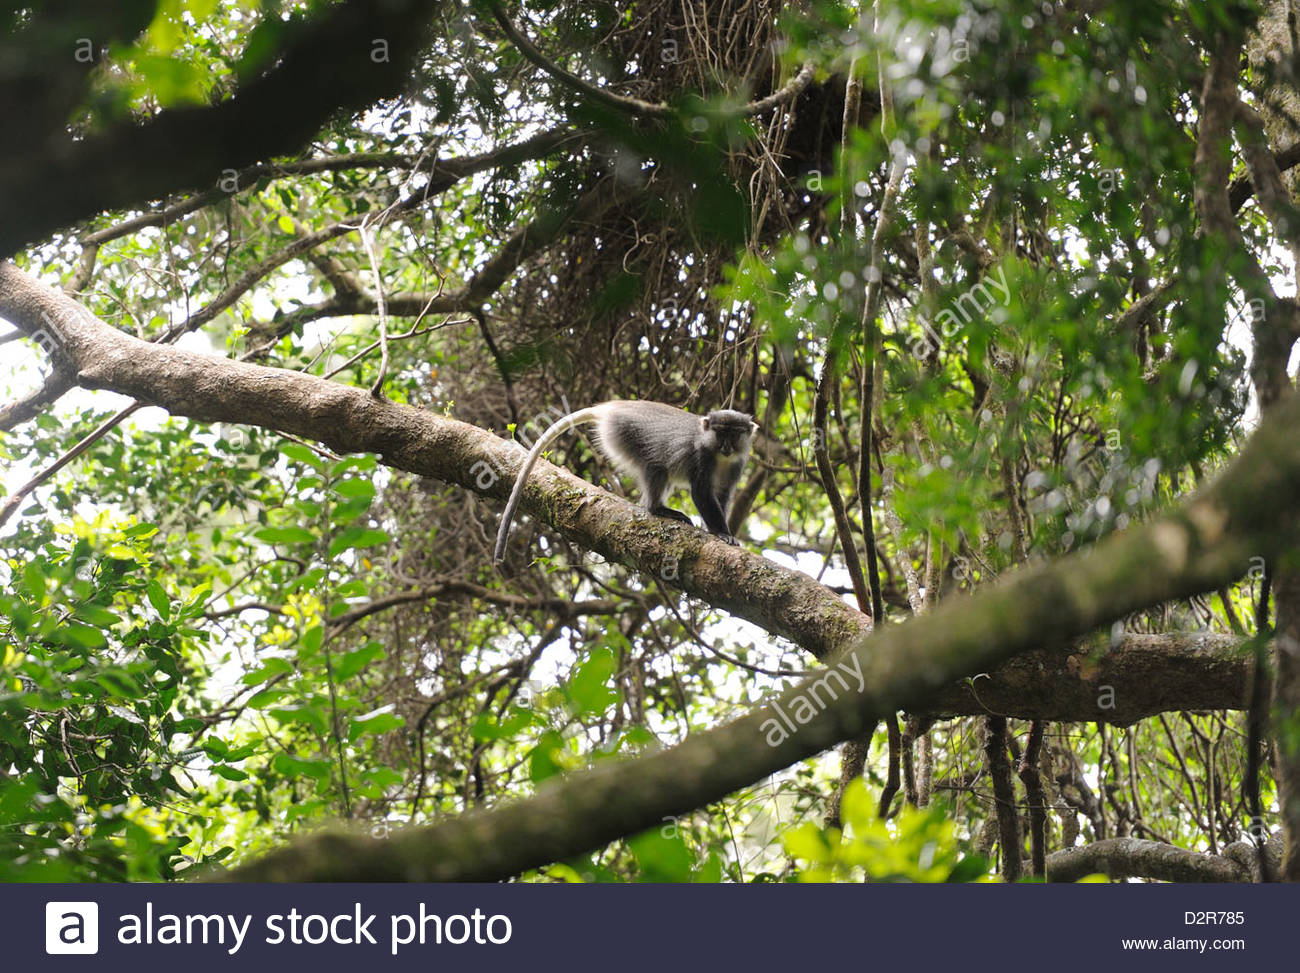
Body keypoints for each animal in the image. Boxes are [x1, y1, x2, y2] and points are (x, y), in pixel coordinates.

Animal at [493, 400, 757, 564]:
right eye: (720, 432)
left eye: (734, 434)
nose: (726, 446)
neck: (721, 457)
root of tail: (612, 407)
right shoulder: (702, 457)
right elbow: (701, 493)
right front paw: (722, 534)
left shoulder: (736, 466)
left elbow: (722, 496)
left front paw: (719, 530)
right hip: (626, 434)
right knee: (656, 465)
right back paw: (658, 508)